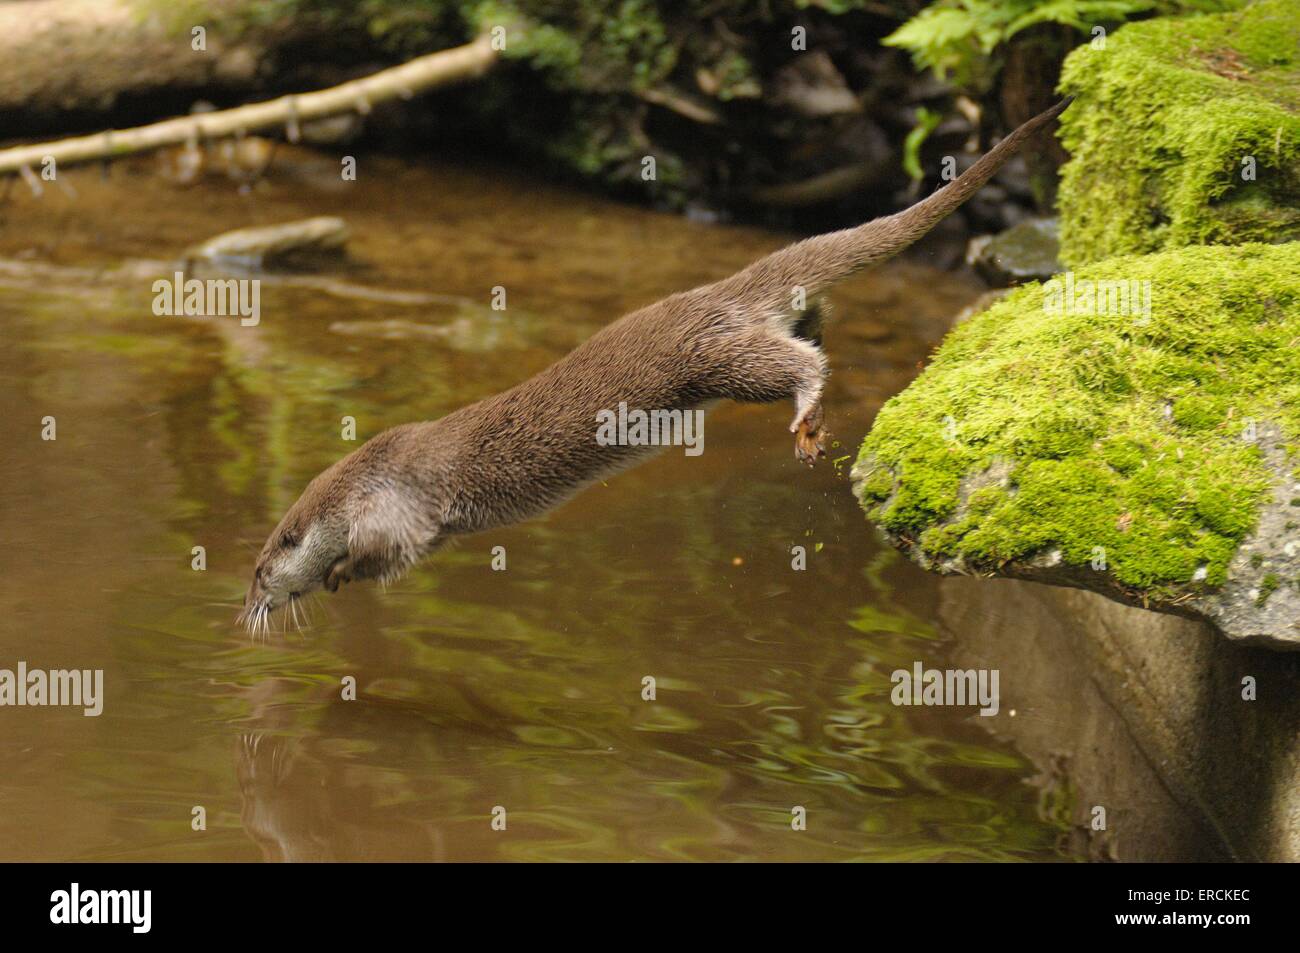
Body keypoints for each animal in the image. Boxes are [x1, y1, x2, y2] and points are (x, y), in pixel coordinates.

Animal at [240, 98, 1073, 634]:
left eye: (257, 569)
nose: (244, 608)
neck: (361, 482)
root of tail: (721, 290)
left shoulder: (396, 507)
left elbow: (389, 553)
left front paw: (339, 574)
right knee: (812, 331)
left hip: (715, 359)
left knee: (794, 363)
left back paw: (807, 419)